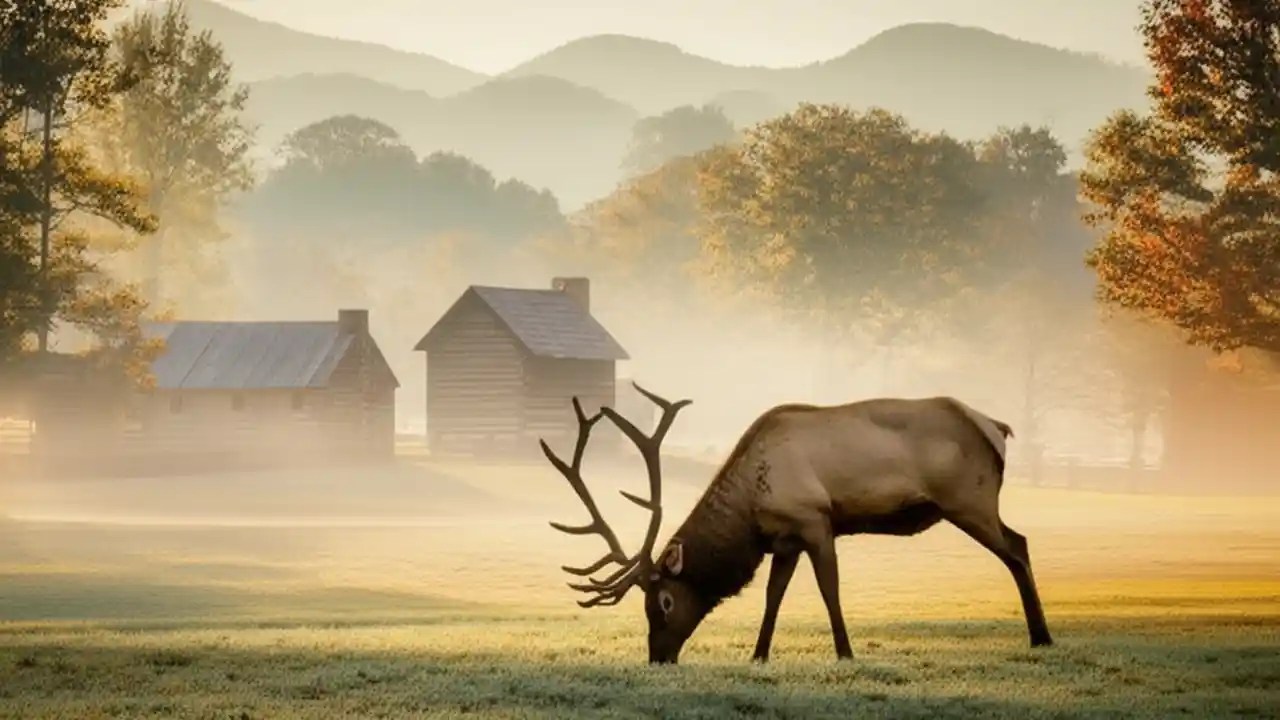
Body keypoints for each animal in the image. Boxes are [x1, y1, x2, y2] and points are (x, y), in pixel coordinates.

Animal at [541, 382, 1053, 665]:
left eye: (663, 602)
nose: (657, 658)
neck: (750, 511)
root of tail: (998, 428)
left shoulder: (815, 519)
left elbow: (829, 589)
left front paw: (845, 653)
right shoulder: (784, 539)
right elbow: (773, 595)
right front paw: (758, 655)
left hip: (968, 499)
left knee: (1017, 547)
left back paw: (1042, 636)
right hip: (972, 503)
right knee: (1019, 543)